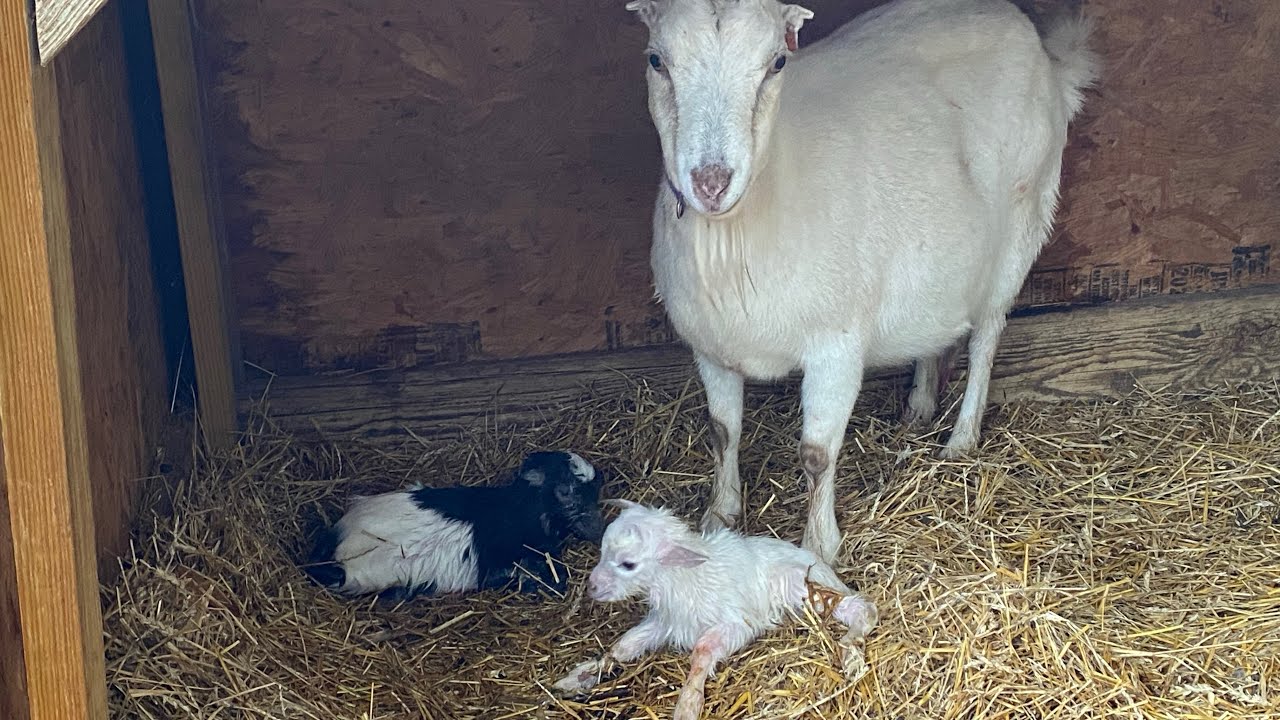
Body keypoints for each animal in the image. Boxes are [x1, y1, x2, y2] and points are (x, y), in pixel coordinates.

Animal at [554, 500, 878, 719]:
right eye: (602, 550)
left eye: (628, 564)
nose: (592, 587)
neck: (685, 579)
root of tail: (828, 570)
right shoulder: (666, 620)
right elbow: (622, 647)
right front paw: (577, 678)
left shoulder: (736, 623)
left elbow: (702, 652)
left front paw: (688, 704)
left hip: (801, 586)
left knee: (863, 608)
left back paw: (851, 652)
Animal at [626, 0, 1099, 563]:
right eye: (656, 59)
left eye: (777, 63)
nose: (711, 182)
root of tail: (1039, 46)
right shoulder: (712, 344)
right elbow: (723, 431)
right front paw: (719, 517)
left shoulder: (837, 345)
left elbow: (815, 454)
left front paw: (818, 548)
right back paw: (918, 409)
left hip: (1022, 225)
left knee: (987, 336)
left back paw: (961, 439)